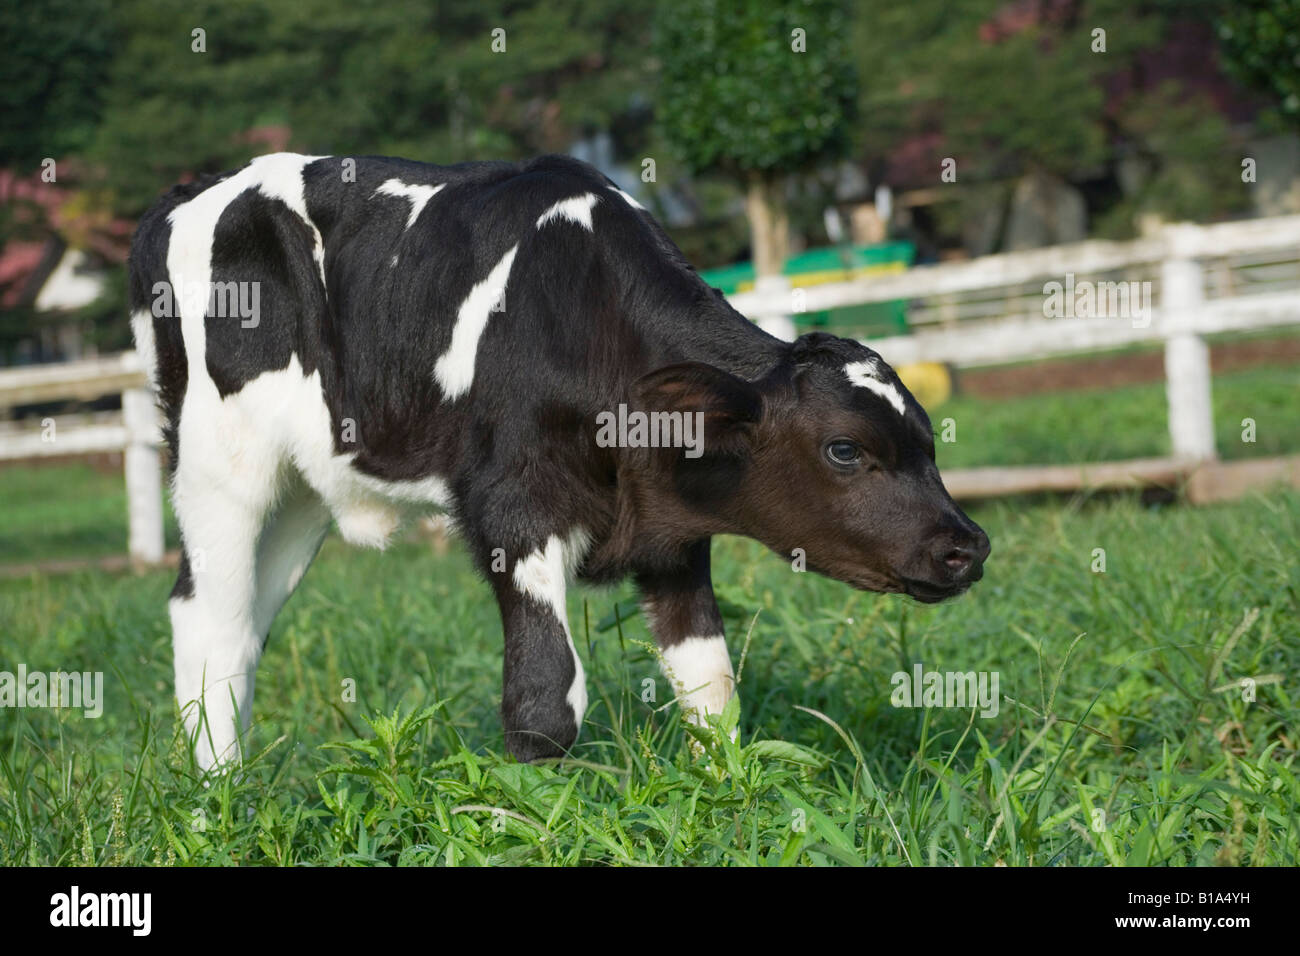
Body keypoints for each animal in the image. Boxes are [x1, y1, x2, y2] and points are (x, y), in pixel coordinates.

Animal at [127, 152, 990, 770]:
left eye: (929, 442)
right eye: (845, 449)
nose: (967, 547)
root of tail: (190, 191)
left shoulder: (672, 537)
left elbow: (711, 689)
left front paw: (727, 798)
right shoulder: (511, 509)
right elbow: (546, 705)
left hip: (301, 494)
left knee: (241, 625)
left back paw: (240, 783)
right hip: (218, 467)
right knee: (206, 619)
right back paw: (217, 798)